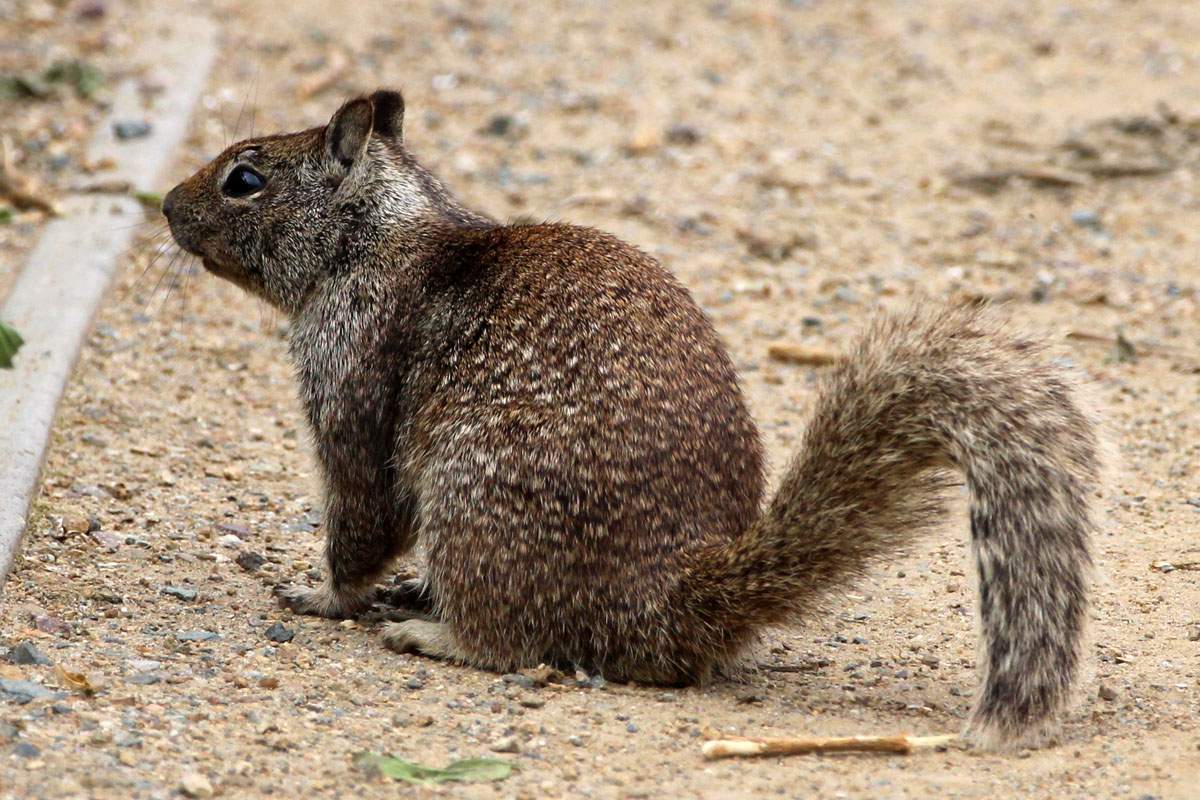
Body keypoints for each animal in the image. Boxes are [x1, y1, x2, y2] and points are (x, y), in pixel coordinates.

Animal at [163, 90, 1100, 749]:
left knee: (513, 642)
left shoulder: (352, 386)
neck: (376, 240)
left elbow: (361, 519)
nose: (167, 206)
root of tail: (673, 602)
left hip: (475, 502)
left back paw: (430, 633)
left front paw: (319, 594)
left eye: (244, 178)